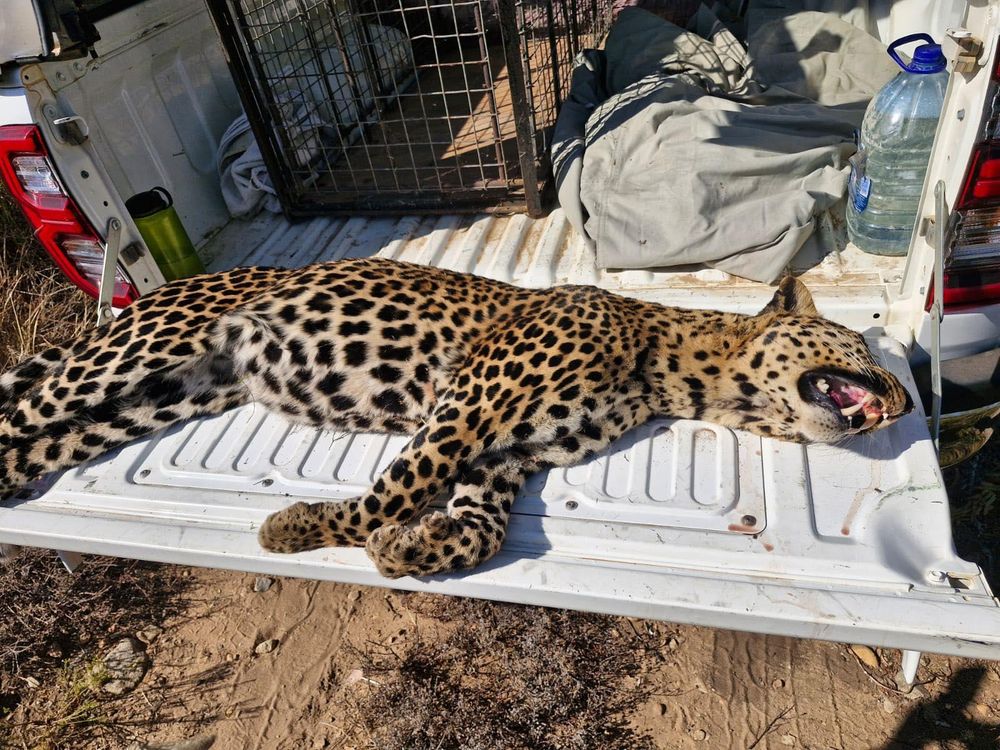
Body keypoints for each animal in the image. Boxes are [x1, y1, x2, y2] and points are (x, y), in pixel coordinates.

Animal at [0, 258, 913, 578]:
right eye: (860, 350)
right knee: (19, 410)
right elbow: (393, 491)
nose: (905, 400)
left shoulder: (502, 457)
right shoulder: (467, 408)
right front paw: (298, 529)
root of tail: (162, 289)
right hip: (137, 353)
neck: (668, 369)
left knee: (38, 440)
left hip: (160, 397)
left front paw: (413, 551)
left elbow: (481, 533)